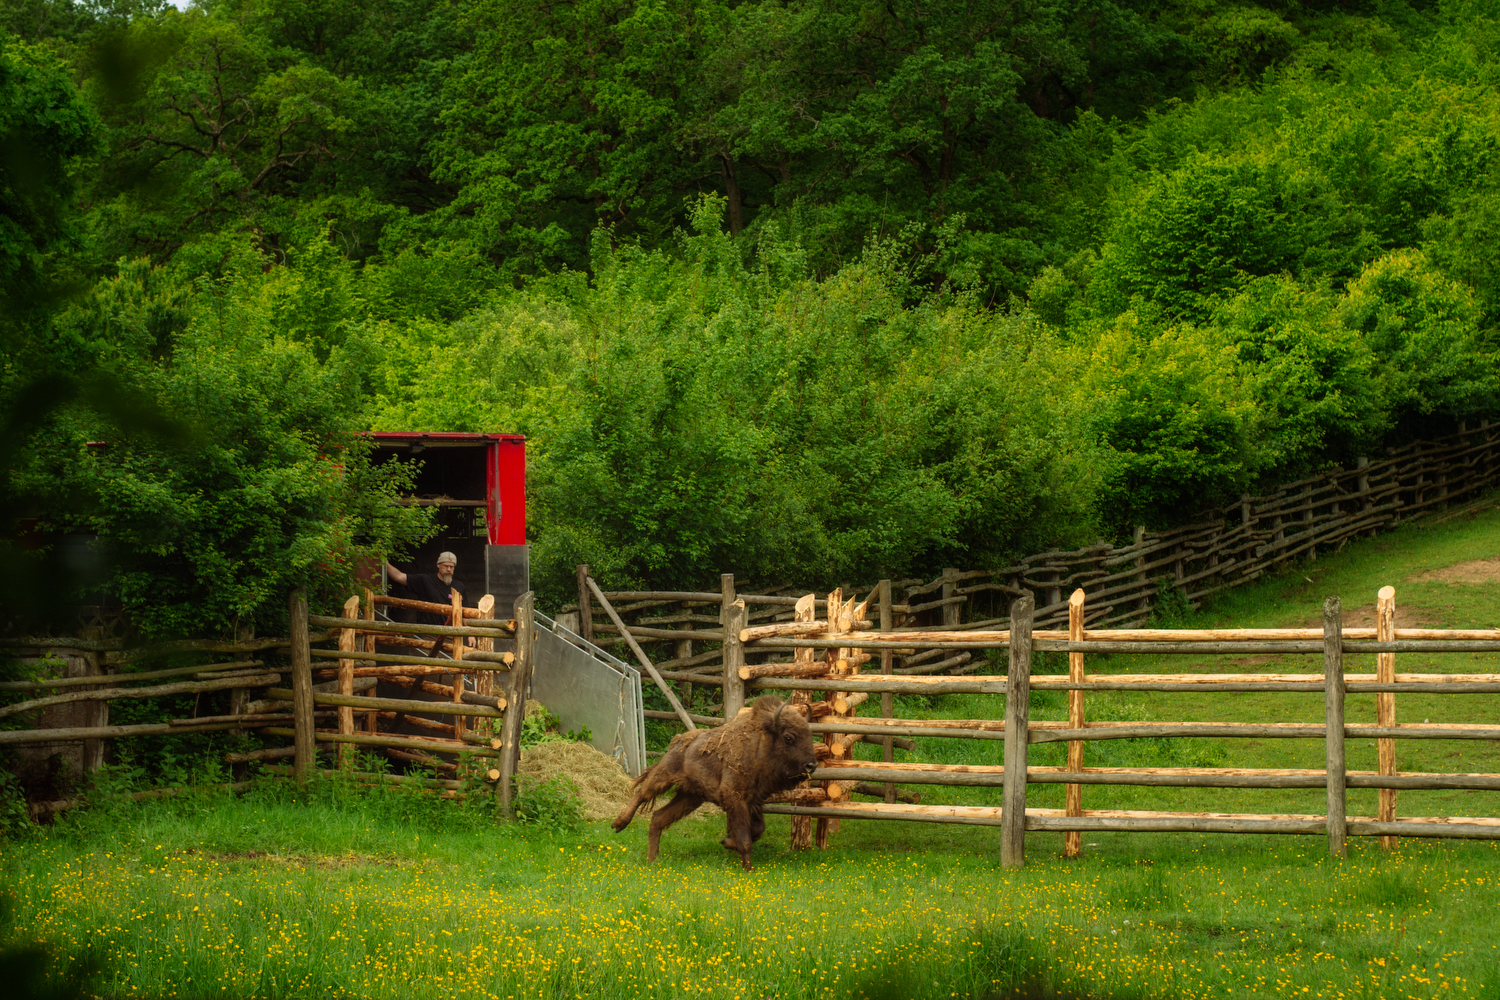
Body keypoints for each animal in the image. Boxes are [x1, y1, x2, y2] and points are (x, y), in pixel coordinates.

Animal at [612, 695, 819, 870]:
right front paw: (748, 867)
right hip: (664, 777)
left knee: (658, 817)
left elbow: (757, 829)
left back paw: (652, 860)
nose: (811, 765)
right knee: (641, 793)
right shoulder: (735, 798)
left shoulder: (753, 801)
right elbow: (745, 838)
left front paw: (728, 842)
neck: (760, 743)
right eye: (789, 737)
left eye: (809, 734)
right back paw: (619, 824)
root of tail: (677, 740)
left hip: (690, 797)